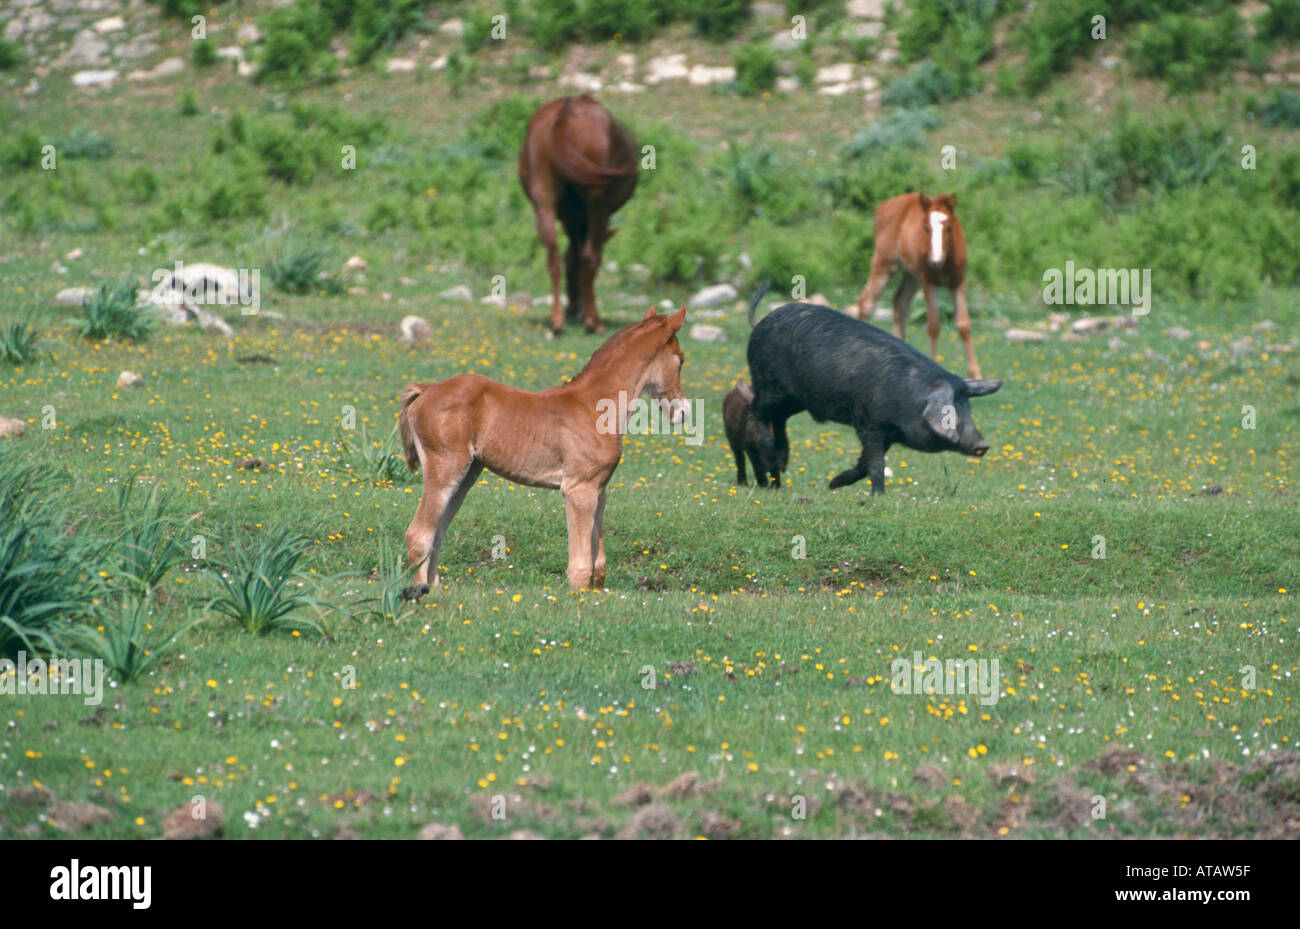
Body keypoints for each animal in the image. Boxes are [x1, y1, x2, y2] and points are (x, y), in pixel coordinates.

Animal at [746, 299, 1001, 494]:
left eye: (967, 408)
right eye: (949, 412)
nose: (983, 444)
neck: (910, 397)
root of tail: (760, 323)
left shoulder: (887, 433)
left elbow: (864, 464)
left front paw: (833, 484)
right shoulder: (870, 425)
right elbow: (876, 463)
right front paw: (878, 494)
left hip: (795, 400)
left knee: (779, 418)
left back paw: (782, 462)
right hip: (769, 385)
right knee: (756, 410)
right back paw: (771, 455)